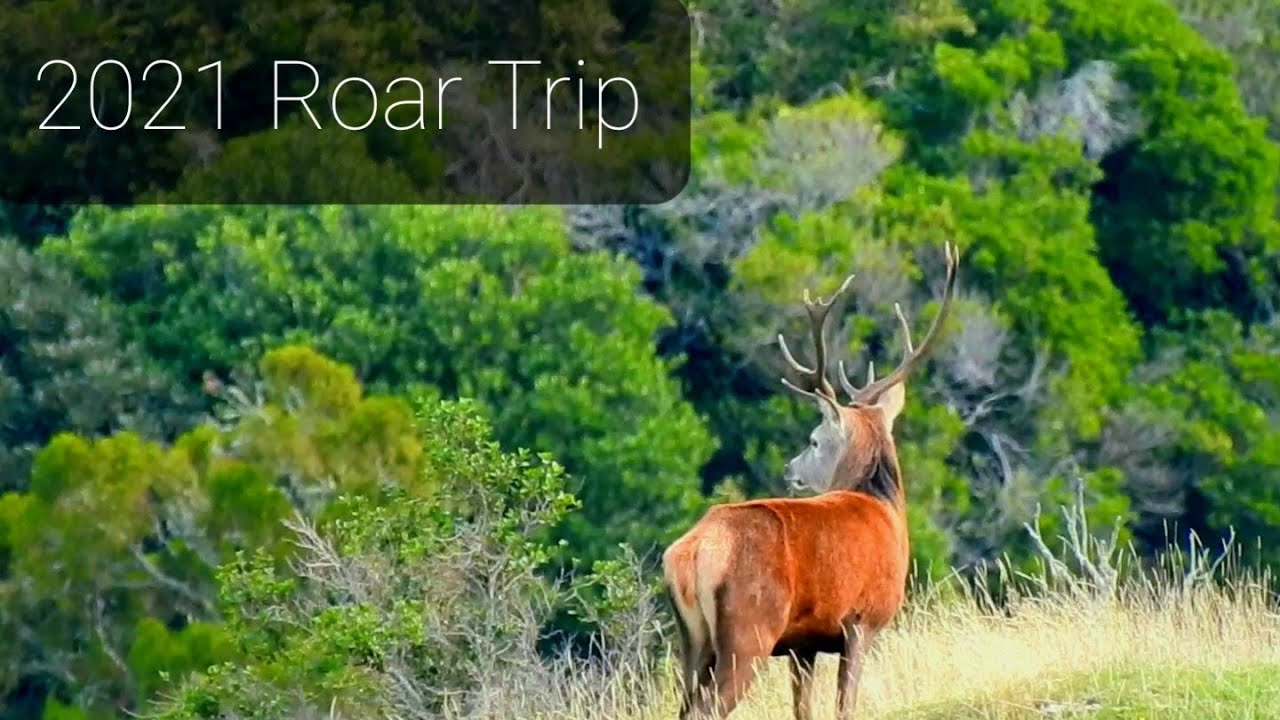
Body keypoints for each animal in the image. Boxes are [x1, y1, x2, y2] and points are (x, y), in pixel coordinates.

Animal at [662, 243, 960, 720]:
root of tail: (691, 553)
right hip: (748, 633)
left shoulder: (803, 644)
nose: (789, 469)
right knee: (709, 708)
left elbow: (804, 708)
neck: (885, 508)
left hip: (692, 642)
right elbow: (844, 706)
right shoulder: (860, 621)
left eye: (814, 440)